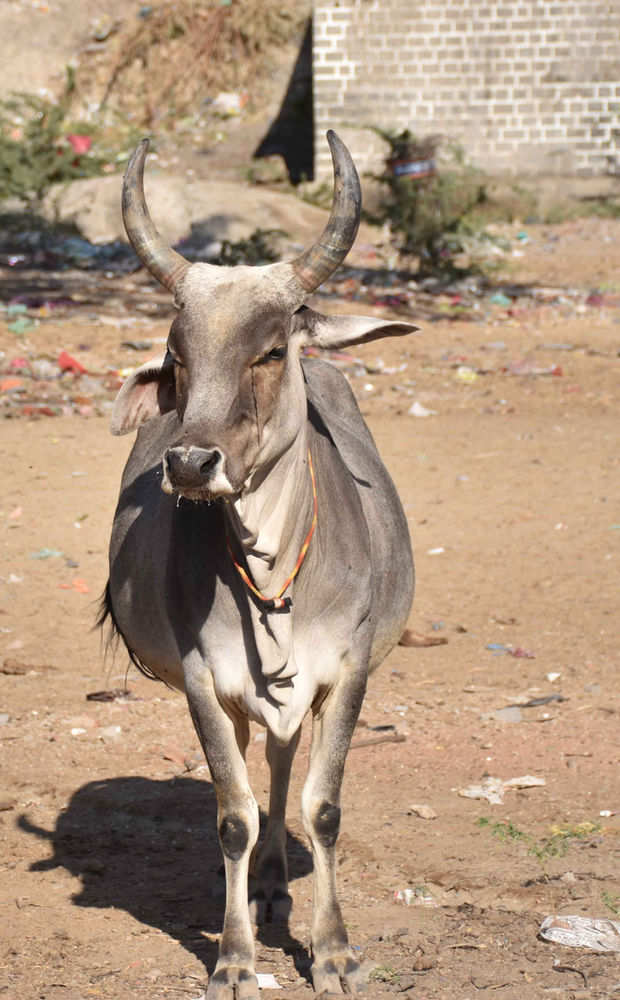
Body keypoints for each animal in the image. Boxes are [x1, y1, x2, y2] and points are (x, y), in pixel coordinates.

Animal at [101, 130, 417, 998]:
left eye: (272, 350)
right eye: (176, 358)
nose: (189, 463)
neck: (272, 578)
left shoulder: (347, 671)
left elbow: (323, 806)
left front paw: (334, 951)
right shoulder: (205, 680)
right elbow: (233, 815)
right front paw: (236, 957)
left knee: (280, 766)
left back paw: (277, 882)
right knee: (250, 771)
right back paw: (251, 886)